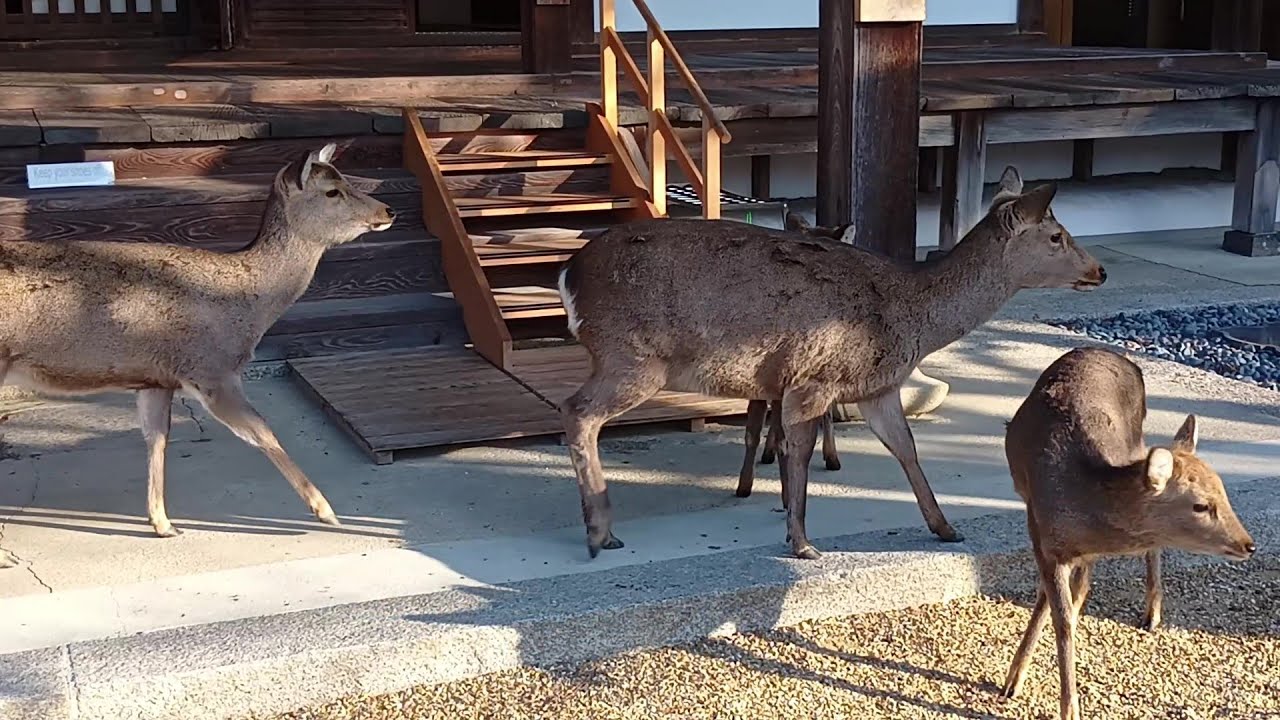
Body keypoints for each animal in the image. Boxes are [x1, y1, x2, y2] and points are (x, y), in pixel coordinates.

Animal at [0, 143, 395, 539]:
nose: (387, 211)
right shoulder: (211, 368)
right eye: (332, 191)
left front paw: (162, 523)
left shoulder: (156, 379)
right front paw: (325, 510)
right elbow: (264, 433)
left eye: (347, 180)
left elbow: (157, 440)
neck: (247, 305)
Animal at [557, 165, 1107, 560]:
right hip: (631, 356)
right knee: (577, 412)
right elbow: (797, 453)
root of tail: (568, 274)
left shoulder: (877, 388)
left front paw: (945, 527)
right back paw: (599, 533)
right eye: (1056, 236)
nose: (1099, 270)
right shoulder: (812, 380)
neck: (913, 319)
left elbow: (907, 449)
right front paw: (802, 542)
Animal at [1000, 346, 1255, 720]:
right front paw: (1017, 683)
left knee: (1141, 554)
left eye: (1224, 493)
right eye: (1200, 505)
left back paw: (1152, 614)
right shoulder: (1041, 534)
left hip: (1136, 441)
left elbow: (1063, 609)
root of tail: (1115, 354)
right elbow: (1060, 618)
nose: (1248, 544)